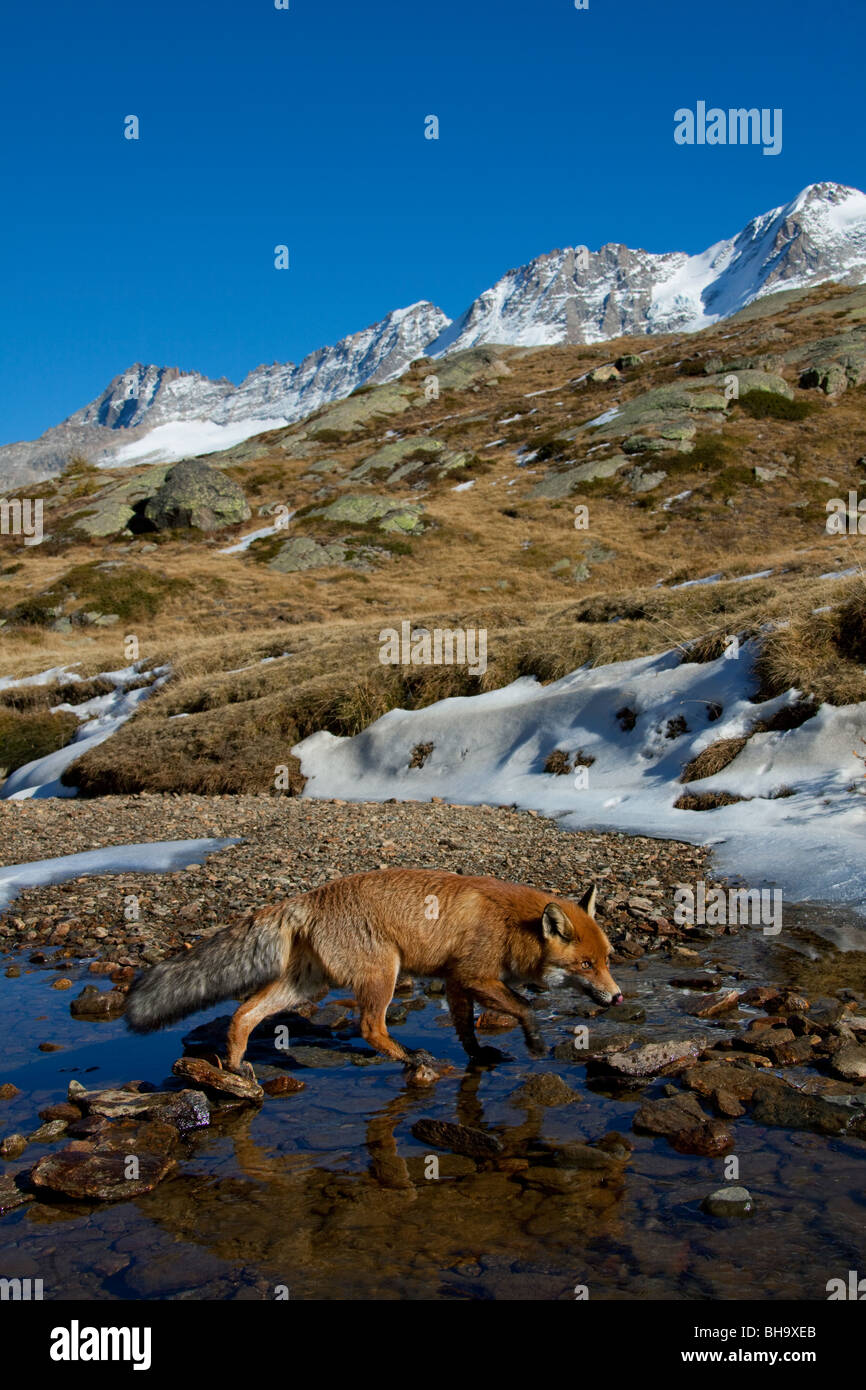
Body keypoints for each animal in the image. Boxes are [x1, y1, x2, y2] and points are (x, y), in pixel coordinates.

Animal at [124, 868, 622, 1072]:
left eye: (608, 959)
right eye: (585, 964)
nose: (618, 996)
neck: (509, 925)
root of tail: (308, 897)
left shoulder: (455, 981)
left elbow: (467, 1029)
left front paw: (479, 1058)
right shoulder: (474, 976)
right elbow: (523, 1007)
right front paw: (535, 1042)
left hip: (304, 986)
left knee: (243, 1013)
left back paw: (232, 1066)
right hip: (384, 974)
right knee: (369, 1028)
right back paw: (410, 1058)